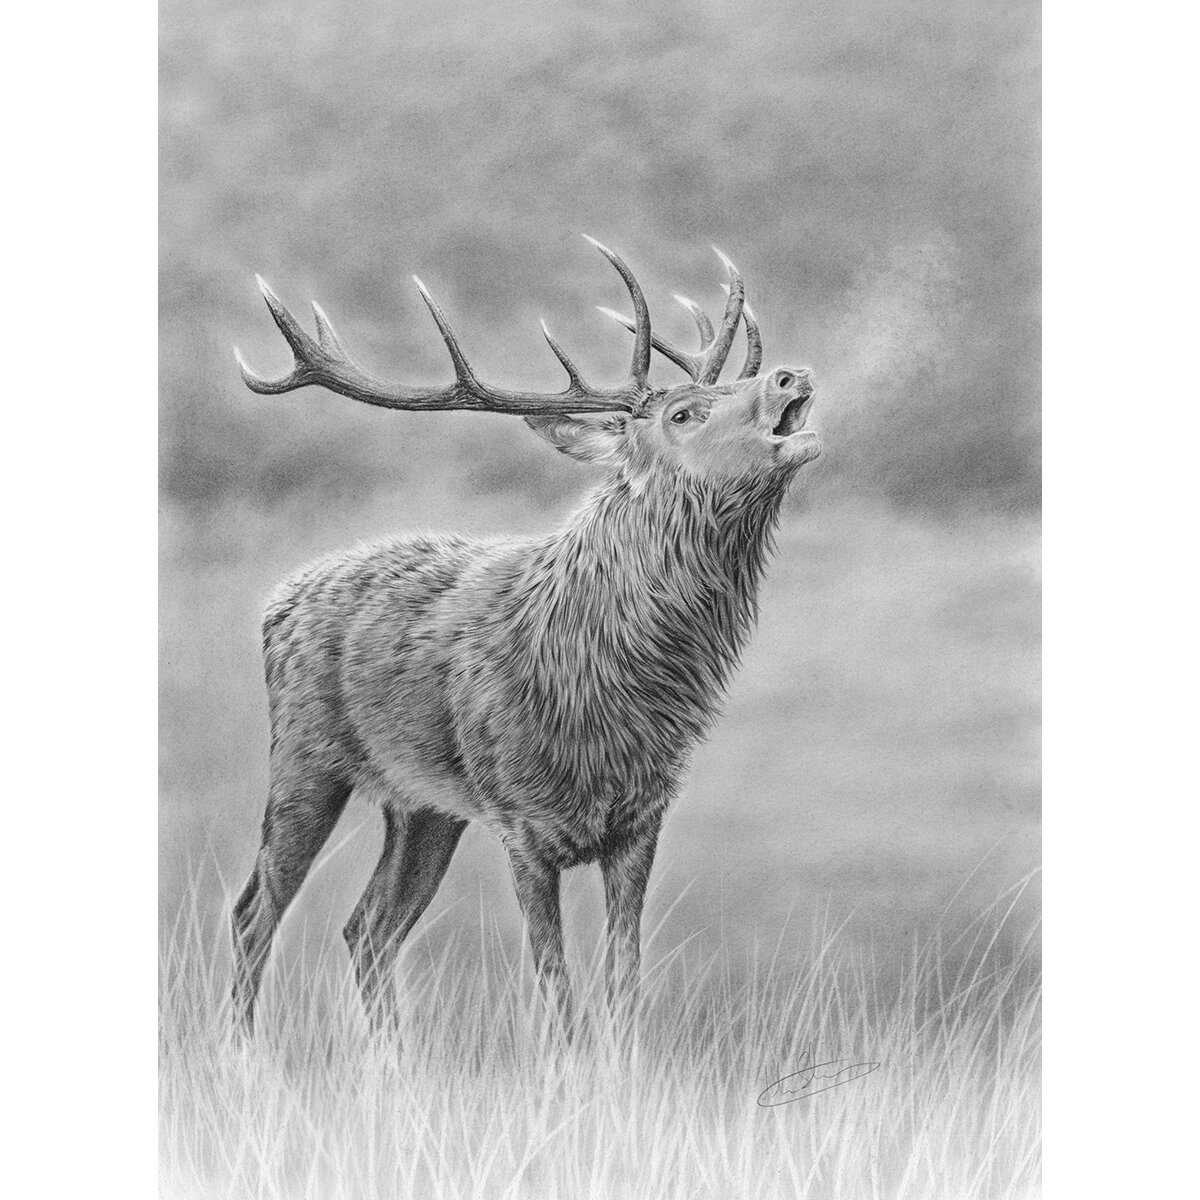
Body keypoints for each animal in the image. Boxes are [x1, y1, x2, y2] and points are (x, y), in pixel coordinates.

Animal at [229, 237, 821, 1037]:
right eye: (684, 413)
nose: (794, 373)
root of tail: (276, 601)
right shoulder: (521, 820)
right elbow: (556, 988)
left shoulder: (643, 817)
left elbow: (623, 983)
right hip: (306, 756)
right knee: (256, 911)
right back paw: (244, 1053)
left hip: (423, 804)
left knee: (368, 927)